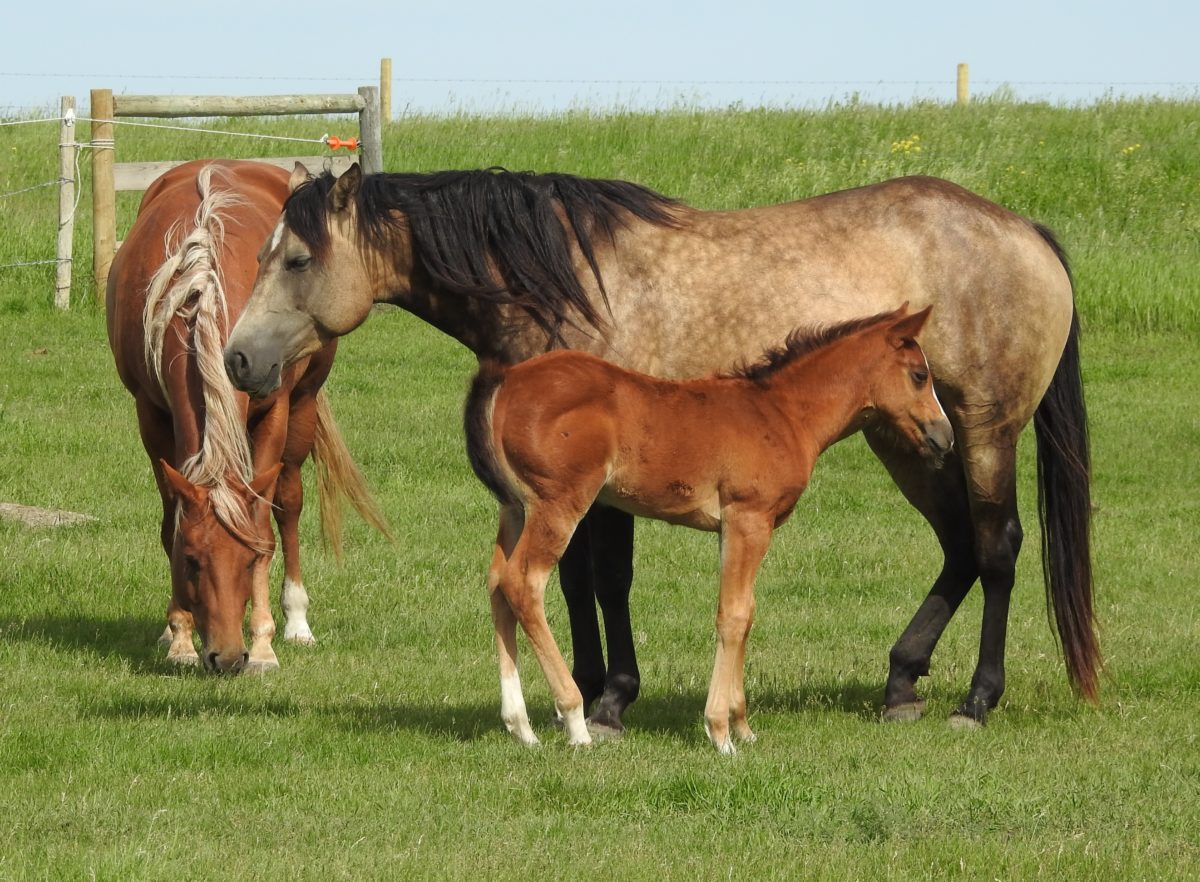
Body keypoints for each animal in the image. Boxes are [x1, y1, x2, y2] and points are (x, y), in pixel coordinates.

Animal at [106, 159, 389, 673]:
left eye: (248, 561)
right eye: (191, 561)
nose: (226, 657)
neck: (203, 292)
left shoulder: (274, 411)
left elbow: (264, 524)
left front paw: (263, 645)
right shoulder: (150, 415)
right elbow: (170, 521)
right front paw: (179, 637)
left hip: (302, 408)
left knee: (290, 505)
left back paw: (296, 621)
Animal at [465, 305, 953, 751]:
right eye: (918, 375)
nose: (944, 437)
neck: (782, 415)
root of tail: (507, 380)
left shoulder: (734, 529)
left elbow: (746, 612)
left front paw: (743, 726)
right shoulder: (748, 519)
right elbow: (733, 615)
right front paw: (721, 732)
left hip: (515, 508)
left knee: (496, 583)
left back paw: (521, 726)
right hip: (559, 504)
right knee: (523, 583)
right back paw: (575, 722)